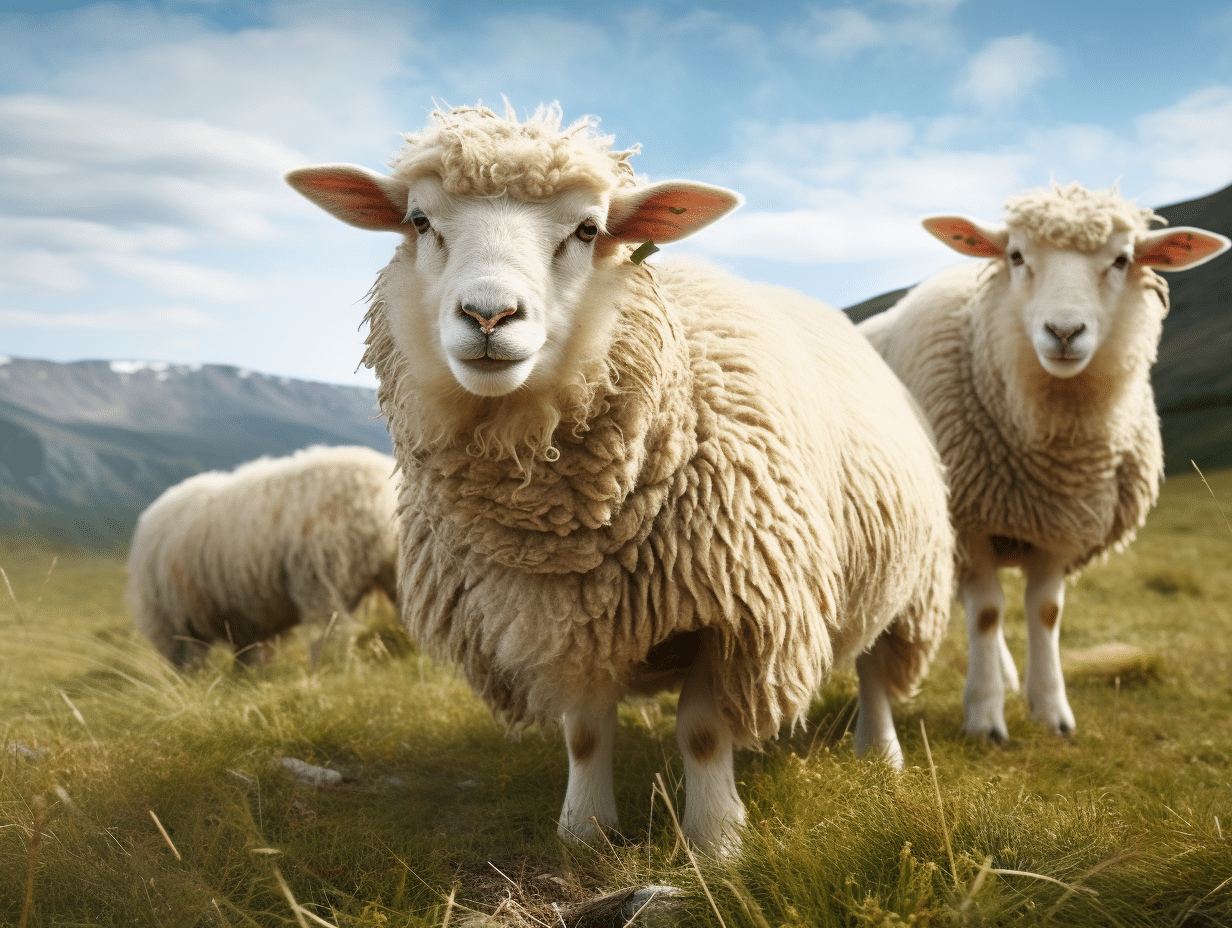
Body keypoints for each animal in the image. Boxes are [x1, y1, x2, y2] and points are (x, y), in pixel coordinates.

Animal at [126, 445, 400, 668]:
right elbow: (333, 633)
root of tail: (149, 516)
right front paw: (338, 670)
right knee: (191, 657)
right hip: (179, 615)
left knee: (242, 651)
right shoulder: (321, 583)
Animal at [285, 102, 953, 852]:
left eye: (588, 229)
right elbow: (583, 731)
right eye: (420, 220)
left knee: (878, 669)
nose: (489, 315)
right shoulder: (563, 619)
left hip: (913, 578)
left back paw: (882, 754)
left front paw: (715, 839)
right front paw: (585, 829)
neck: (559, 528)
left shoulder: (733, 607)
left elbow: (701, 731)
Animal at [859, 182, 1230, 742]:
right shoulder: (970, 522)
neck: (1054, 456)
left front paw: (1051, 711)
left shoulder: (1062, 524)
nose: (1064, 331)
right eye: (1015, 256)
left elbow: (1046, 612)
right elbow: (988, 613)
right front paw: (984, 717)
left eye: (1122, 259)